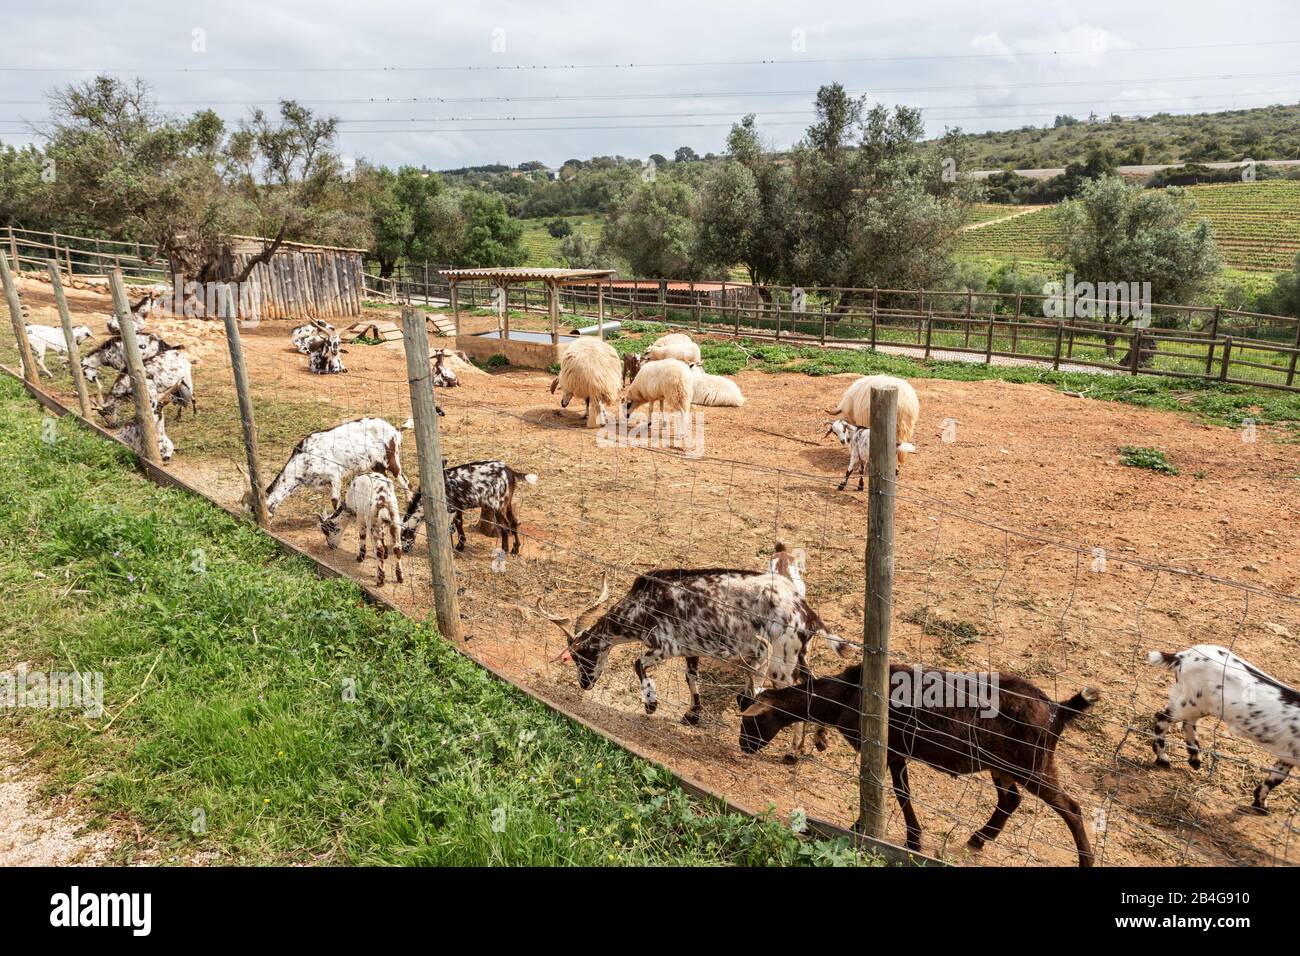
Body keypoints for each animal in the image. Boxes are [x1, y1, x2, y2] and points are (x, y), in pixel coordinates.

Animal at [259, 418, 410, 517]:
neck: (303, 460)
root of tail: (395, 430)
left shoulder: (335, 472)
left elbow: (335, 500)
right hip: (376, 465)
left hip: (391, 459)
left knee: (404, 481)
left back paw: (408, 502)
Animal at [400, 460, 539, 556]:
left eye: (403, 536)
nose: (404, 550)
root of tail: (510, 471)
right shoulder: (457, 508)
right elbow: (459, 524)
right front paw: (460, 546)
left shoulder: (449, 509)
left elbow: (450, 528)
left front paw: (452, 548)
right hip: (507, 503)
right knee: (513, 522)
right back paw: (515, 549)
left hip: (498, 505)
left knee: (505, 525)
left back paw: (505, 549)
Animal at [535, 567, 852, 742]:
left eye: (581, 656)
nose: (584, 684)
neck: (643, 605)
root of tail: (805, 611)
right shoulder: (692, 648)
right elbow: (691, 677)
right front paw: (692, 715)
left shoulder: (664, 645)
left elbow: (638, 664)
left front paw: (651, 704)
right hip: (797, 655)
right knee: (811, 684)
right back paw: (818, 740)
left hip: (780, 661)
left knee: (797, 693)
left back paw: (794, 751)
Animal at [740, 663, 1099, 865]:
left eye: (751, 720)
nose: (745, 745)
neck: (845, 695)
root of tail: (1058, 709)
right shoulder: (897, 752)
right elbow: (900, 792)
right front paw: (909, 837)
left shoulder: (886, 749)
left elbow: (893, 792)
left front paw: (874, 832)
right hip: (1003, 765)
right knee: (1010, 800)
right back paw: (977, 840)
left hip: (1032, 764)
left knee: (1071, 808)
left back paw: (1086, 860)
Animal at [1147, 645, 1300, 814]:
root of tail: (1183, 656)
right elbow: (1277, 778)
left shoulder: (1288, 756)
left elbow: (1276, 777)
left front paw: (1260, 804)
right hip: (1191, 702)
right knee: (1163, 718)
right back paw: (1163, 758)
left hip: (1195, 704)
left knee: (1187, 724)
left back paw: (1195, 759)